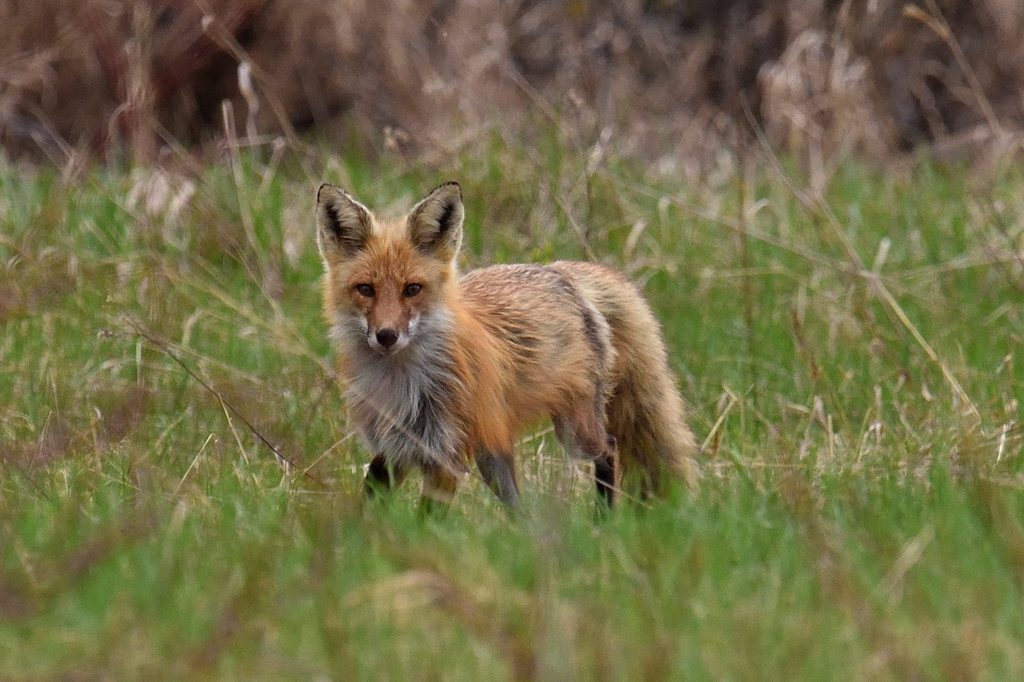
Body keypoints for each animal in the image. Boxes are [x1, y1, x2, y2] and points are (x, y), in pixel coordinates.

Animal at [315, 181, 699, 513]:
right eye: (365, 290)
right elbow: (368, 503)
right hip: (494, 455)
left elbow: (425, 522)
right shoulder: (394, 444)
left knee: (609, 451)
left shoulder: (446, 454)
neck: (398, 382)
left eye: (412, 289)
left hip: (574, 432)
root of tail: (560, 272)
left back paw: (602, 522)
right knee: (520, 509)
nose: (386, 336)